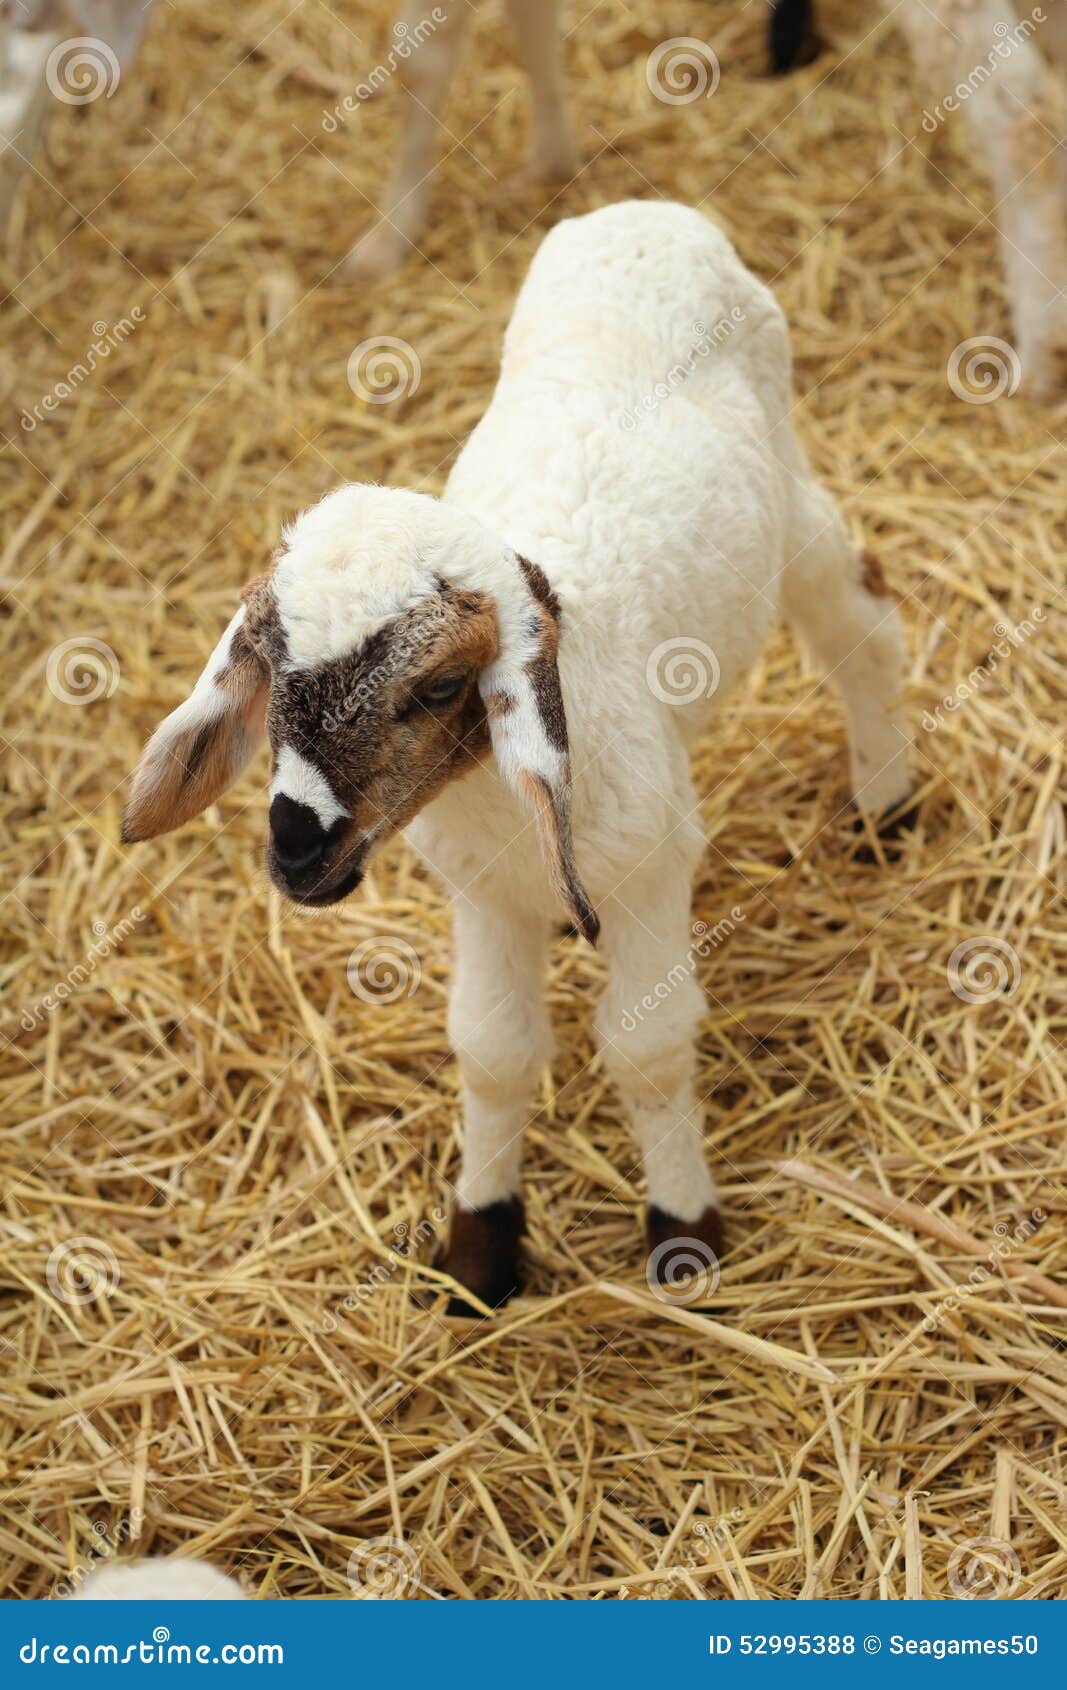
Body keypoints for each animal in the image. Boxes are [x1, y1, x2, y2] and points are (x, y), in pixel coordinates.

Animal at [121, 199, 913, 1315]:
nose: (295, 849)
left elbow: (645, 1049)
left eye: (436, 689)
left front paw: (682, 1233)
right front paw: (480, 1249)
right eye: (272, 673)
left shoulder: (646, 874)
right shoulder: (482, 898)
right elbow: (492, 1053)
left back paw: (885, 803)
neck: (498, 798)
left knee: (859, 620)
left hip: (787, 486)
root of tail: (643, 210)